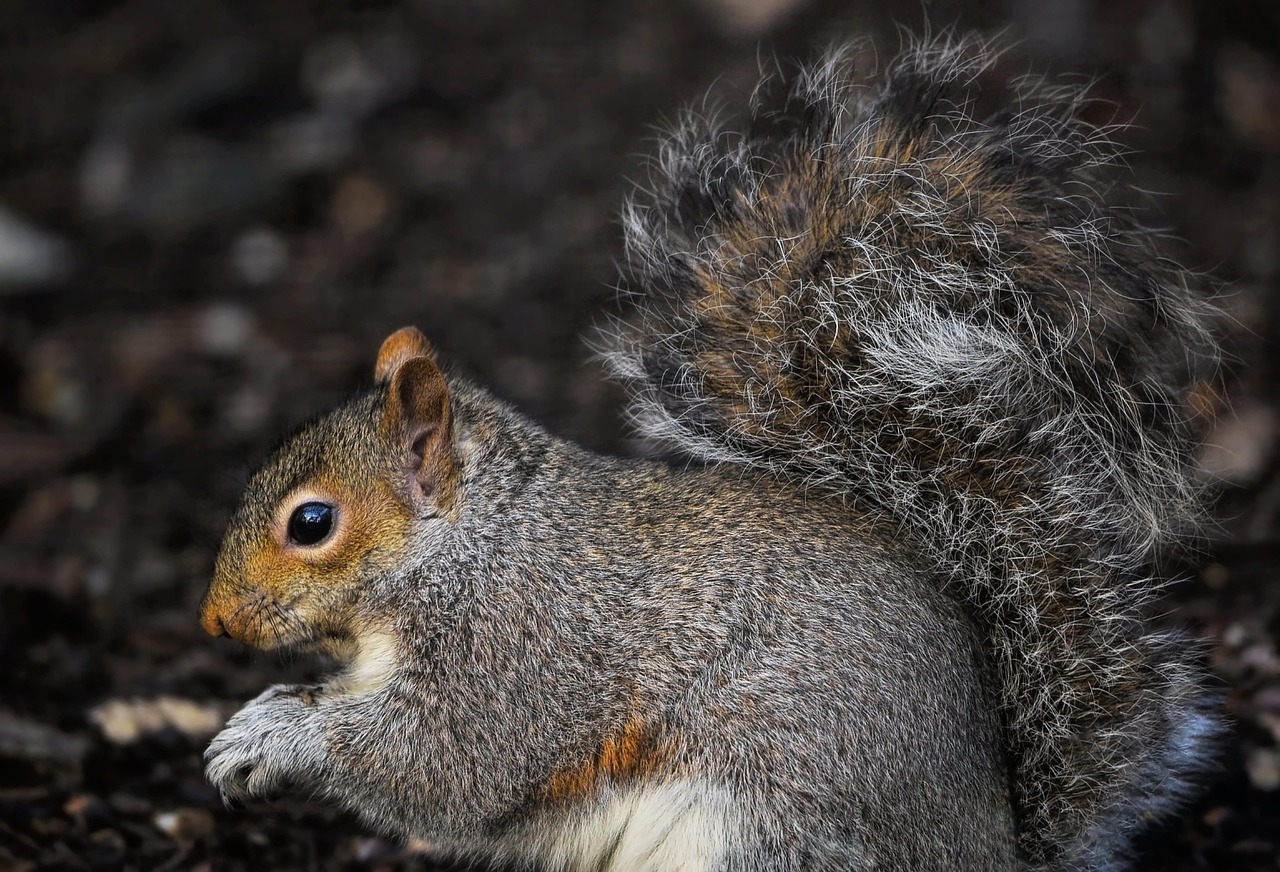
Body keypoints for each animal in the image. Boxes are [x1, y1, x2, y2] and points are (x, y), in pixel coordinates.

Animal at [201, 37, 1223, 871]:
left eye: (313, 522)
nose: (215, 622)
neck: (467, 544)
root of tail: (989, 853)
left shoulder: (519, 651)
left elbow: (447, 762)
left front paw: (275, 734)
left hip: (768, 829)